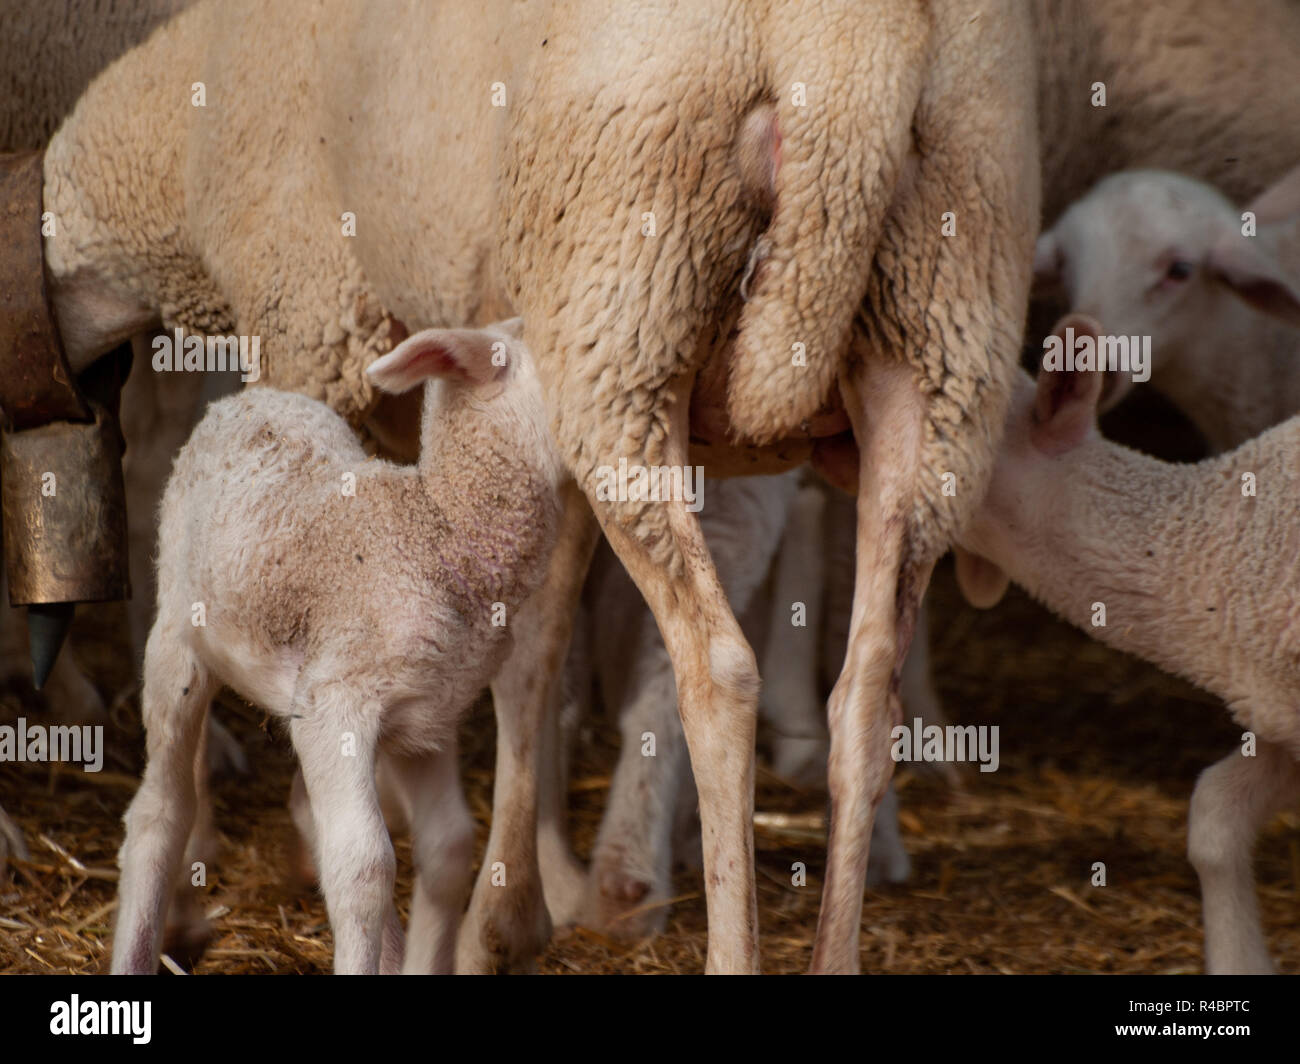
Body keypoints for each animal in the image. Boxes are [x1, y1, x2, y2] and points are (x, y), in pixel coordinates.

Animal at [111, 319, 563, 975]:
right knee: (160, 813)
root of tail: (247, 400)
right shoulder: (335, 704)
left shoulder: (429, 717)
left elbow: (449, 848)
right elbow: (365, 866)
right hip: (177, 634)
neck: (439, 531)